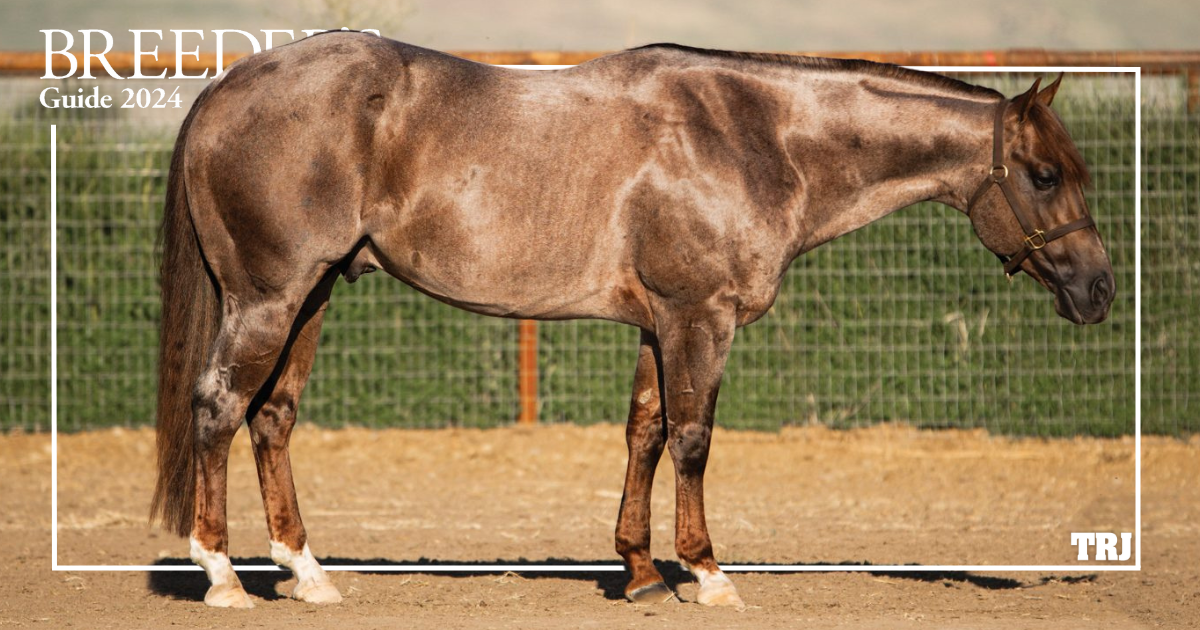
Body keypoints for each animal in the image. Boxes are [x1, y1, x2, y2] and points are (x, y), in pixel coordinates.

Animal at [150, 32, 1115, 609]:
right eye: (1042, 176)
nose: (1100, 290)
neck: (753, 137)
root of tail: (227, 87)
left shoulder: (661, 324)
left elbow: (644, 431)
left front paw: (643, 571)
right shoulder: (701, 319)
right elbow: (692, 438)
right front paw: (709, 575)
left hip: (313, 294)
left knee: (272, 419)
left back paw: (307, 573)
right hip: (270, 297)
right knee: (219, 407)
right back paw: (223, 575)